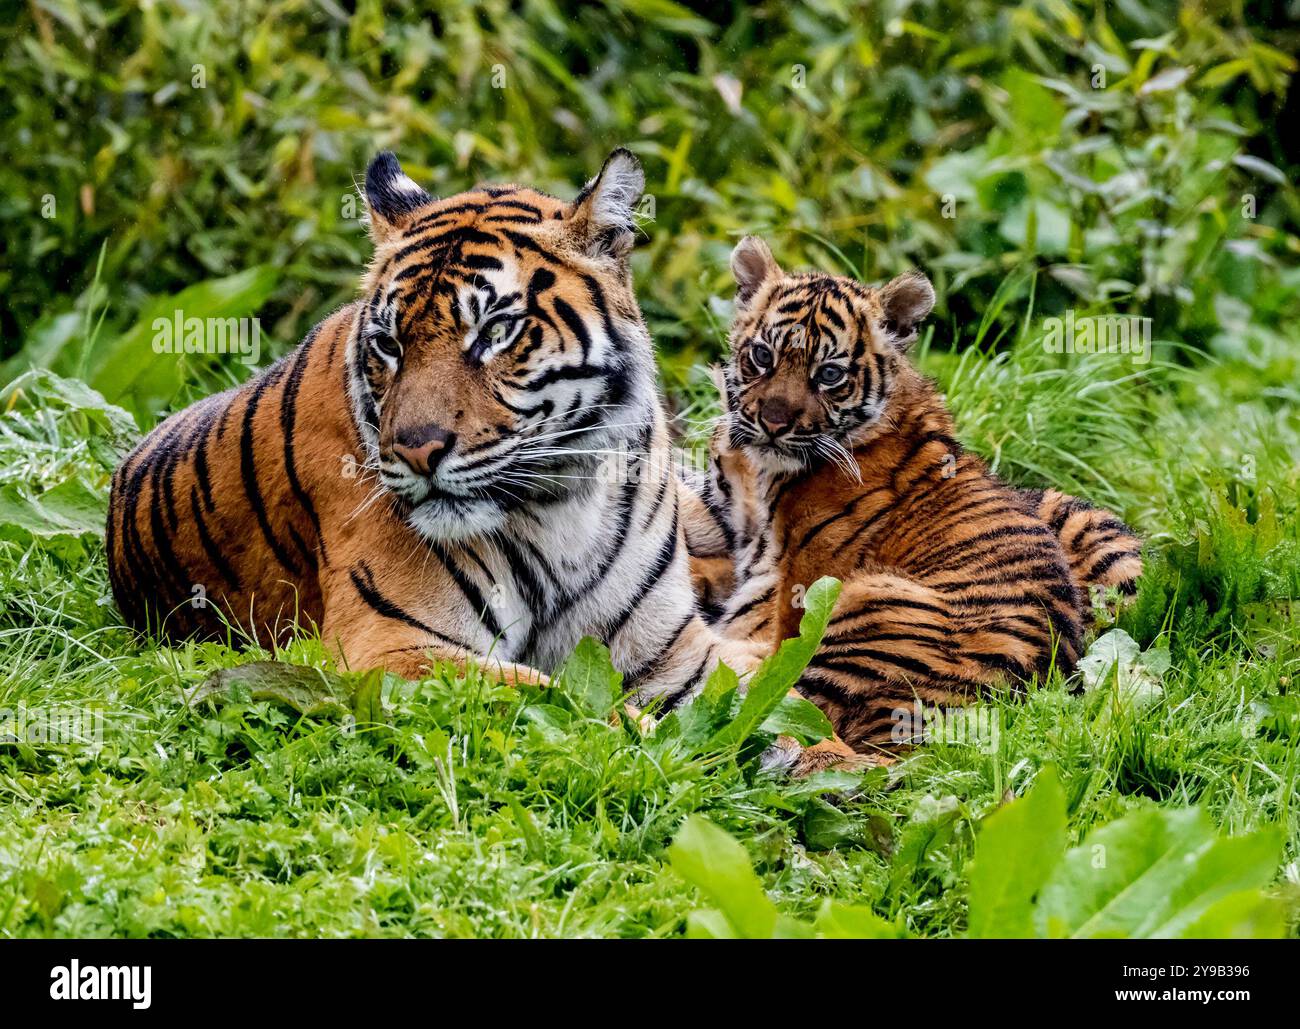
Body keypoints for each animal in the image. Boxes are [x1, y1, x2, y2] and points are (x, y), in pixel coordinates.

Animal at [107, 149, 769, 706]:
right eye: (389, 344)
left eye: (496, 331)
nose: (416, 452)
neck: (563, 503)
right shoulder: (391, 645)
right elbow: (576, 704)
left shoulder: (673, 650)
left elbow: (769, 698)